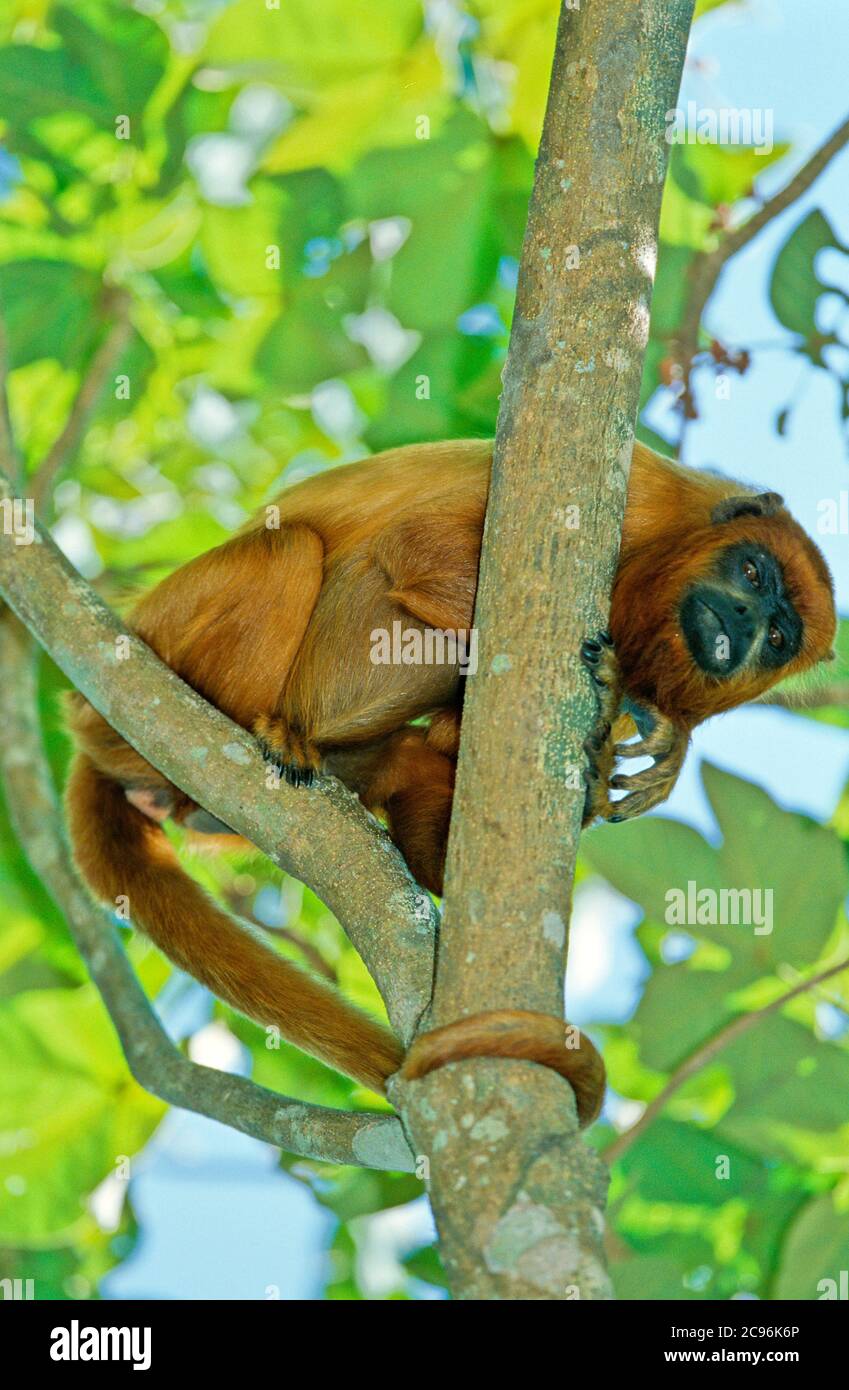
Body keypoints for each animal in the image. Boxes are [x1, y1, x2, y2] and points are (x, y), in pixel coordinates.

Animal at [65, 439, 836, 1128]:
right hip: (157, 637)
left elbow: (457, 738)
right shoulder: (642, 497)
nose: (745, 620)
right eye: (751, 572)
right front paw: (631, 701)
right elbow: (421, 546)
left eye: (778, 638)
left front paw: (656, 731)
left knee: (415, 757)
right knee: (295, 555)